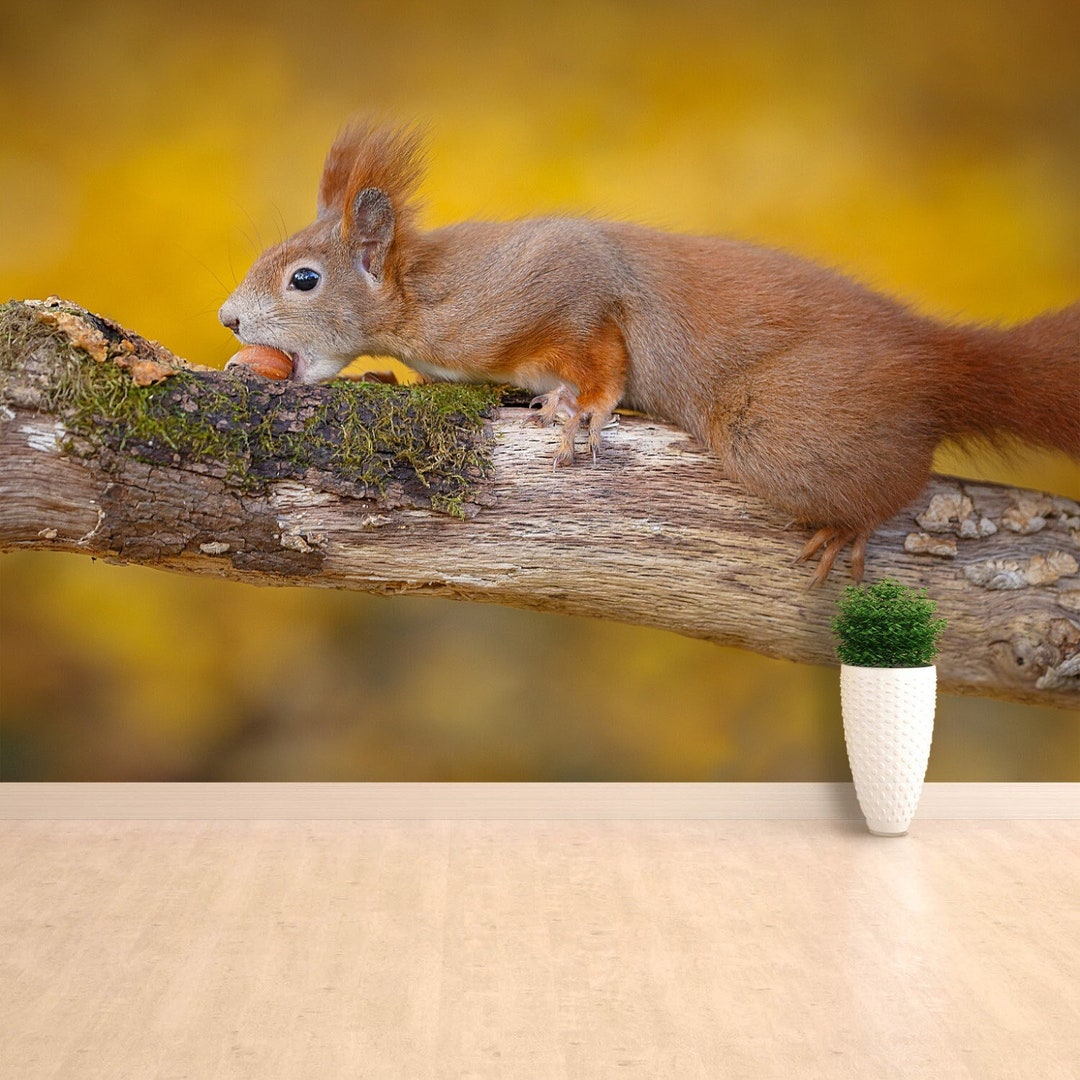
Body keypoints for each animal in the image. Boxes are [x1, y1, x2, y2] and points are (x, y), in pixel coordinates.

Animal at [219, 119, 1080, 585]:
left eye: (303, 279)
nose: (227, 321)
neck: (421, 293)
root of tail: (932, 356)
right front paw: (379, 370)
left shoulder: (551, 284)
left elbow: (599, 345)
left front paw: (584, 409)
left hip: (780, 426)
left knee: (898, 475)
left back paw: (853, 525)